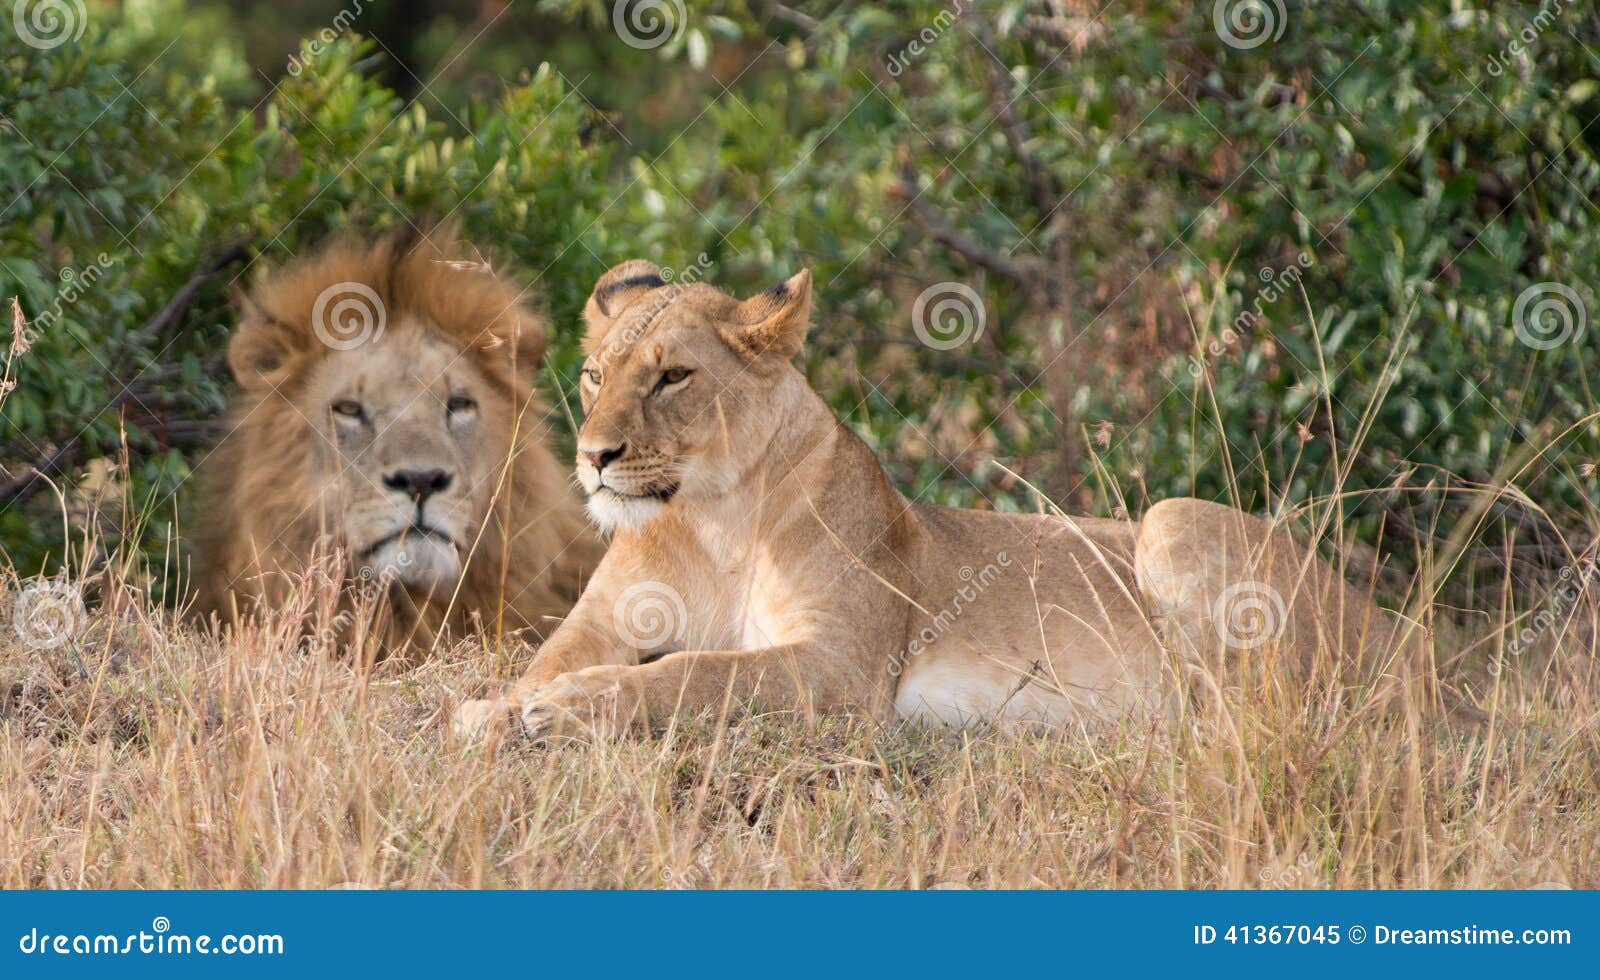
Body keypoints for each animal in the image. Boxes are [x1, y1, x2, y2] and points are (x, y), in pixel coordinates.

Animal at [455, 260, 1416, 736]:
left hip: (1172, 522)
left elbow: (692, 674)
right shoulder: (603, 621)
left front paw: (559, 711)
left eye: (673, 378)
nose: (594, 457)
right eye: (594, 373)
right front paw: (495, 710)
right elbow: (548, 662)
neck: (708, 517)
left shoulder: (840, 669)